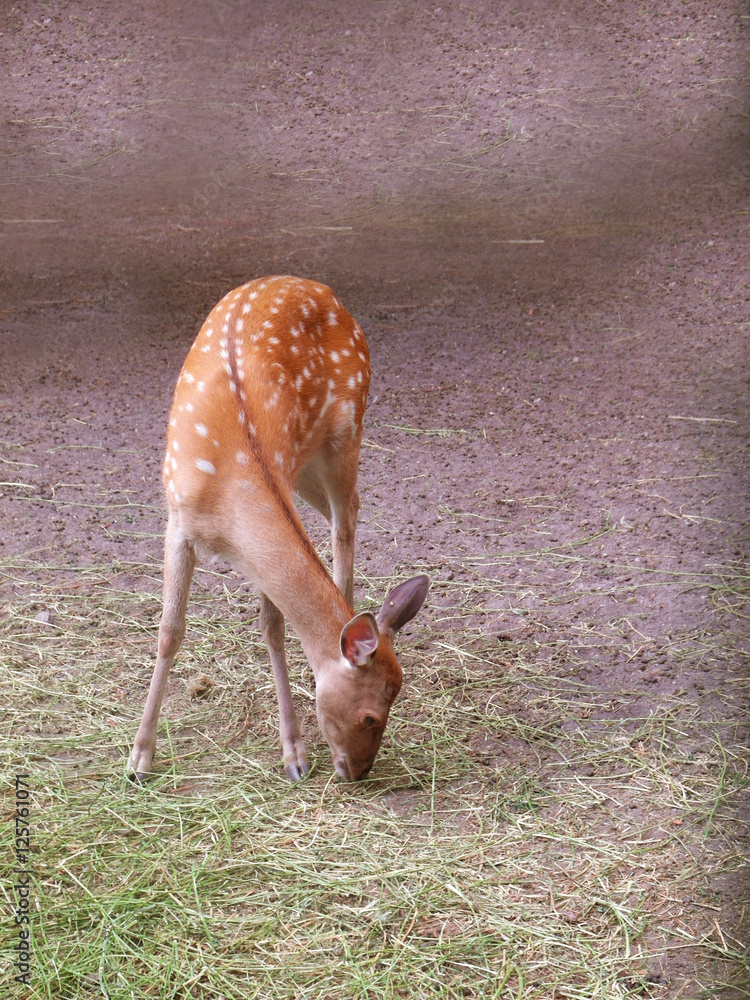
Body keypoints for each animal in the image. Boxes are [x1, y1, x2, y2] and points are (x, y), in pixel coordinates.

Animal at [130, 275, 429, 784]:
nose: (359, 772)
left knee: (347, 515)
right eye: (371, 715)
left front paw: (295, 754)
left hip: (345, 432)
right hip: (314, 465)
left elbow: (272, 625)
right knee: (343, 513)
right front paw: (139, 759)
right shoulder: (178, 520)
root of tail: (318, 288)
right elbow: (169, 630)